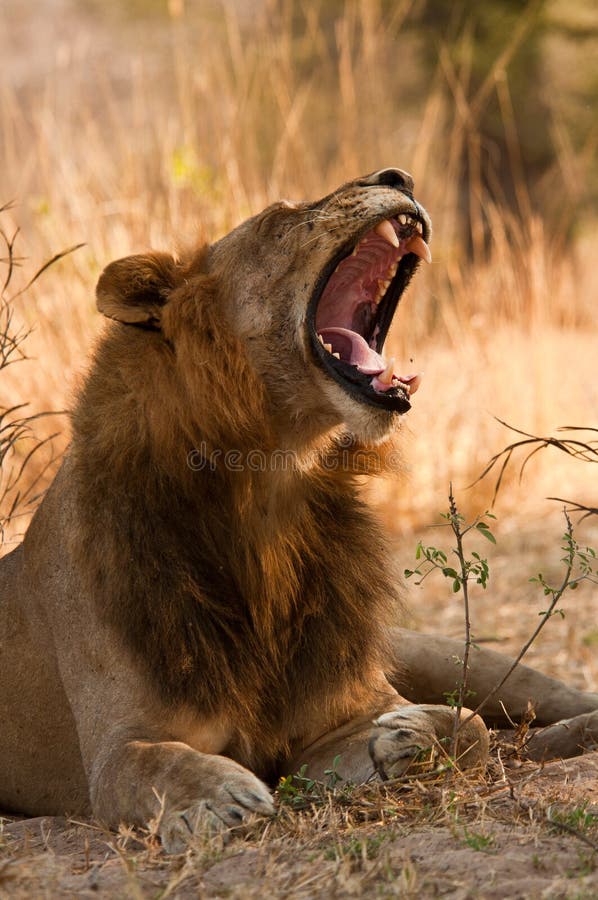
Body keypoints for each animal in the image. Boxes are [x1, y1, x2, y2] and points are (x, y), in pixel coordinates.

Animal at [1, 168, 597, 852]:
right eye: (278, 220)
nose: (398, 176)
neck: (269, 489)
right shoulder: (116, 746)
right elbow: (153, 764)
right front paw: (222, 797)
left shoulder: (342, 710)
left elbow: (465, 725)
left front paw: (409, 735)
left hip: (453, 659)